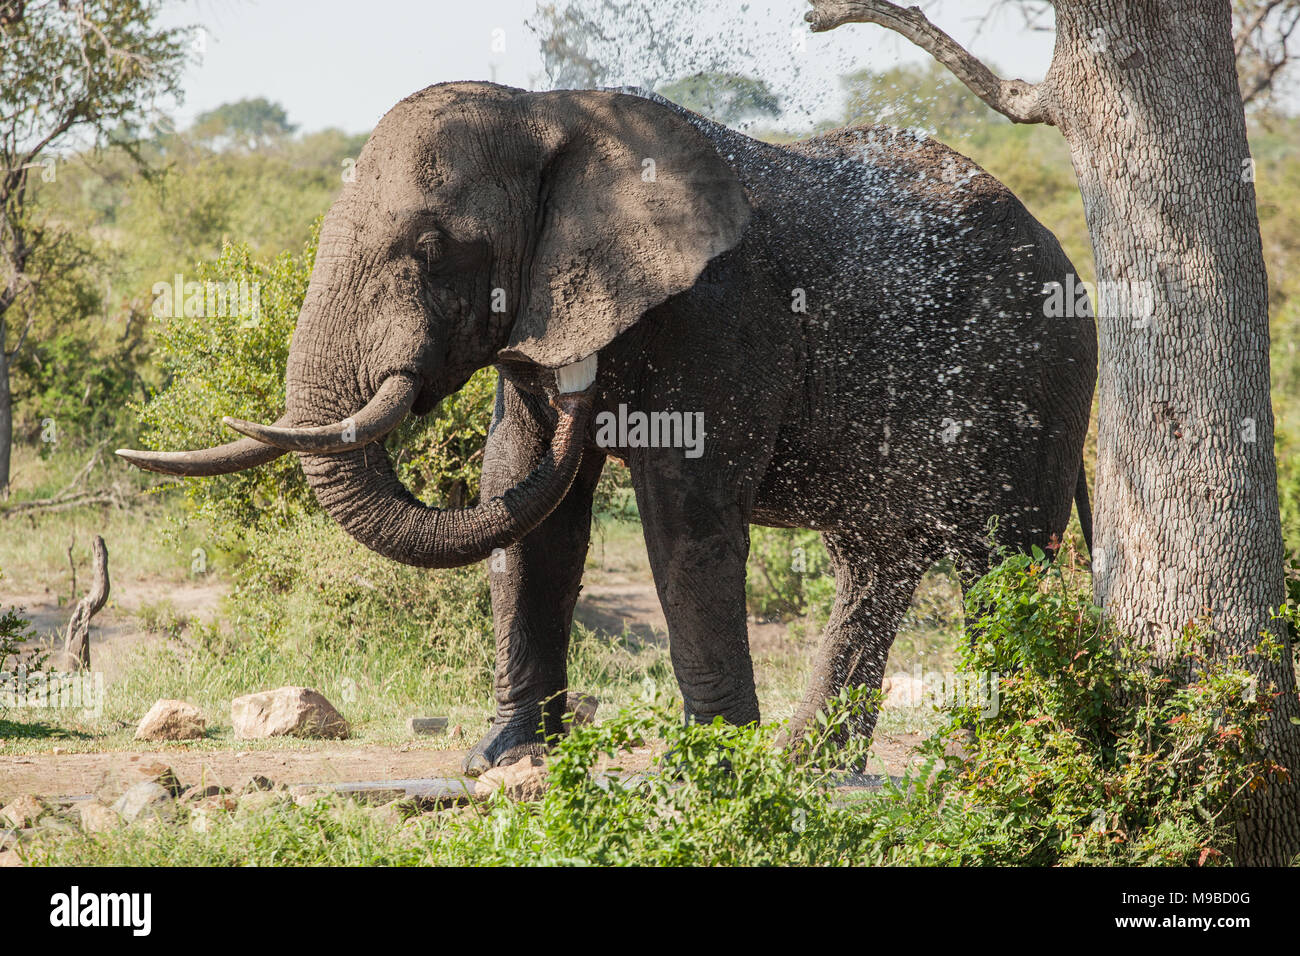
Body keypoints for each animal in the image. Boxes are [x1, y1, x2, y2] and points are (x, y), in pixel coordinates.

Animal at [119, 82, 1097, 773]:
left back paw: (999, 760)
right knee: (875, 563)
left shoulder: (723, 310)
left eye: (433, 251)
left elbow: (683, 519)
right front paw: (500, 759)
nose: (583, 388)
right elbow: (521, 496)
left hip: (1040, 379)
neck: (548, 111)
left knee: (1002, 557)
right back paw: (814, 767)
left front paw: (712, 772)